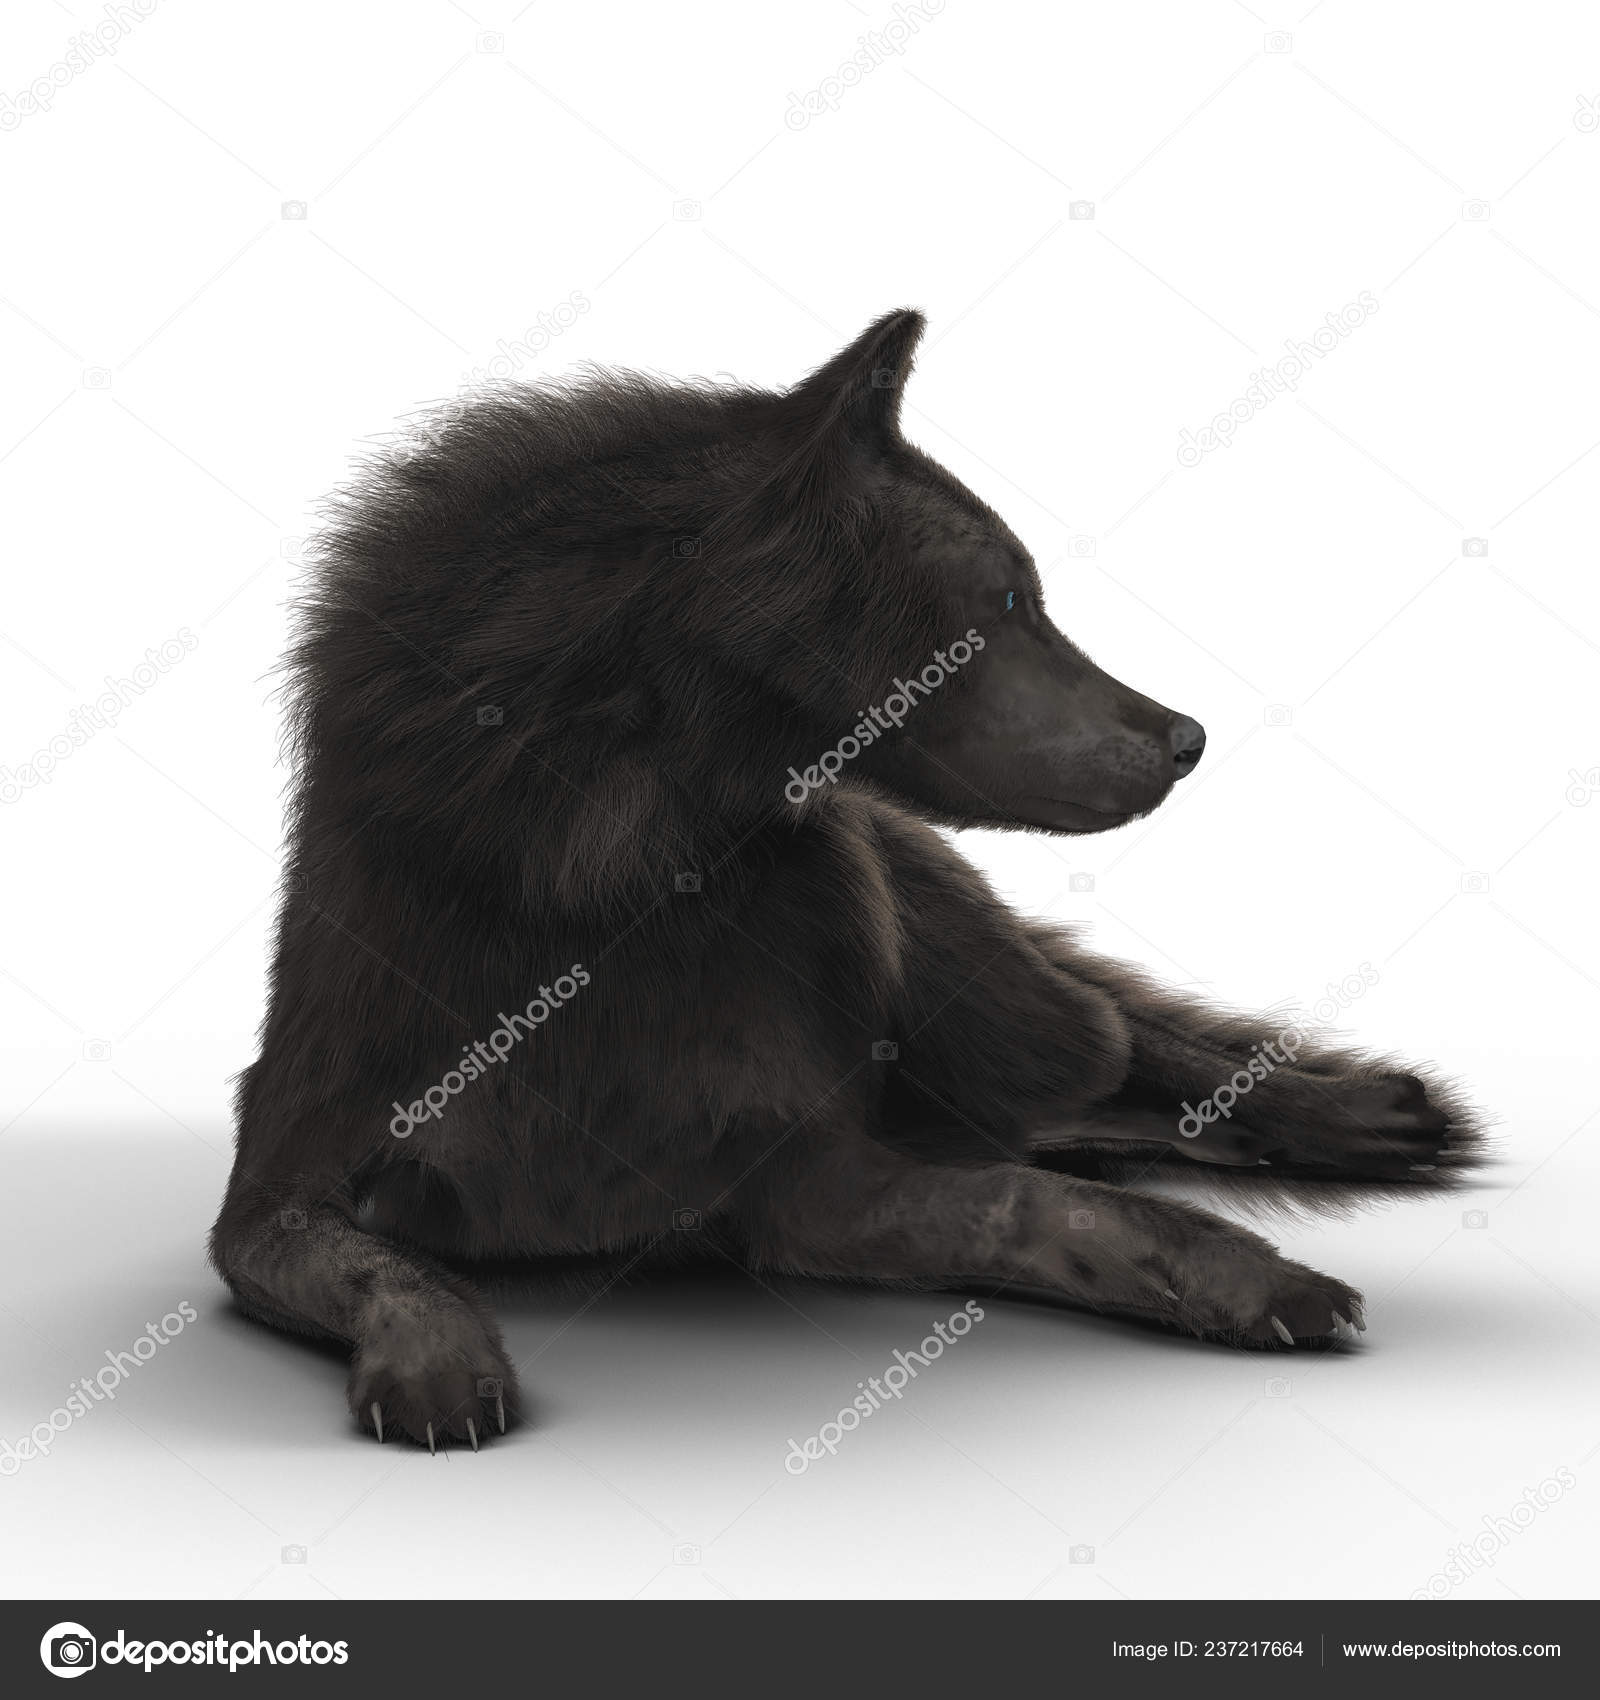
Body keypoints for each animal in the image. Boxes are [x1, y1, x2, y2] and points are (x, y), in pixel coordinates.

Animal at [211, 310, 1482, 1449]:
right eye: (1007, 601)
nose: (1189, 738)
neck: (614, 892)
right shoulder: (275, 1189)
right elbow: (377, 1263)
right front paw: (436, 1356)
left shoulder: (811, 1174)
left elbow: (1044, 1201)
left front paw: (1249, 1276)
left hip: (992, 1000)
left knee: (1127, 1051)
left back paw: (1361, 1114)